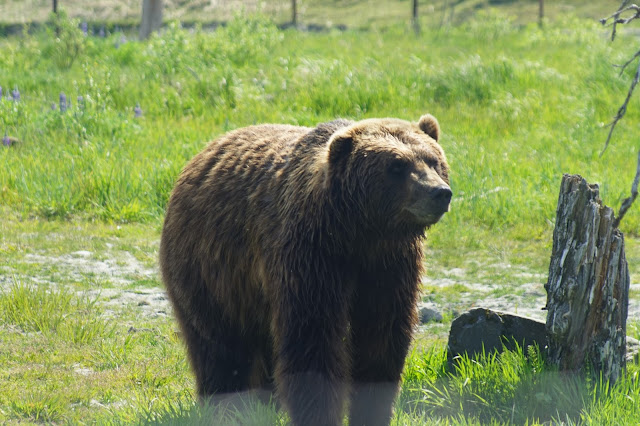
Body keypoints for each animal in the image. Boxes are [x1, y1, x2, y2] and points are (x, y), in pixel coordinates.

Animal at [159, 114, 451, 426]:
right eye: (396, 166)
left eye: (433, 160)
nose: (440, 193)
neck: (360, 232)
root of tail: (200, 155)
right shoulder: (311, 257)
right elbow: (312, 340)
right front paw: (318, 414)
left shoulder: (389, 267)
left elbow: (381, 339)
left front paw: (372, 411)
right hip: (210, 268)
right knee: (219, 344)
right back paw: (226, 405)